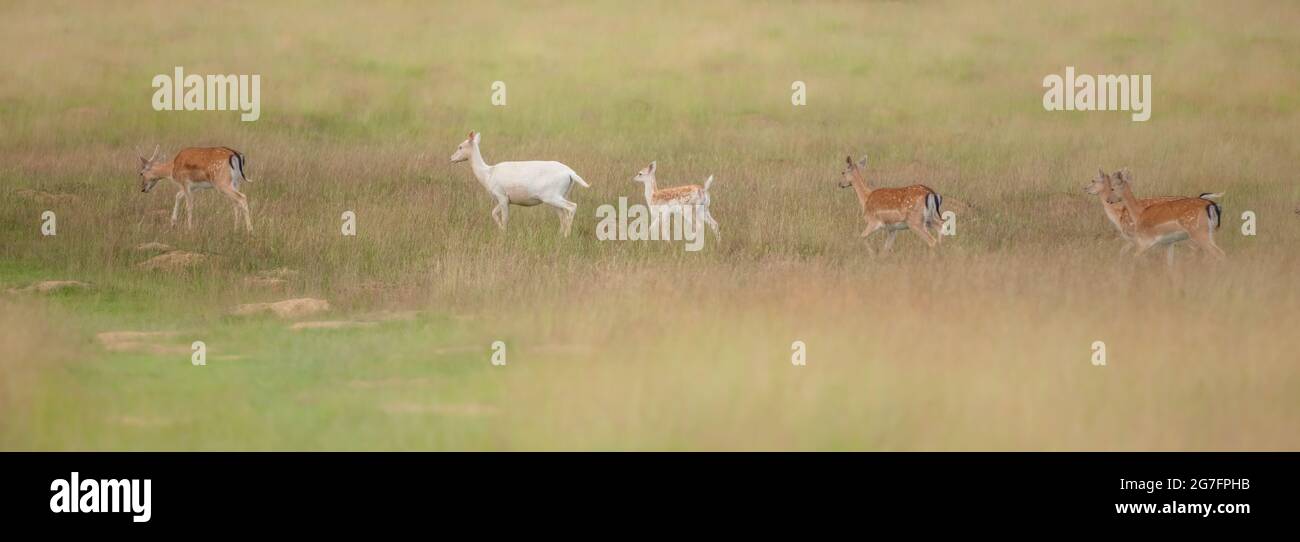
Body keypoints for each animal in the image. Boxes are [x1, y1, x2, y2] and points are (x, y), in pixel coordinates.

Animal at [449, 131, 589, 237]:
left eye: (460, 146)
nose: (451, 158)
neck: (488, 174)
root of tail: (571, 173)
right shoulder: (506, 199)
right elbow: (493, 213)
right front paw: (501, 230)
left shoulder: (501, 195)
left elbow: (505, 218)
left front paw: (504, 233)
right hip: (560, 196)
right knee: (563, 214)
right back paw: (560, 235)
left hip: (552, 196)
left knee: (572, 207)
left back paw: (567, 235)